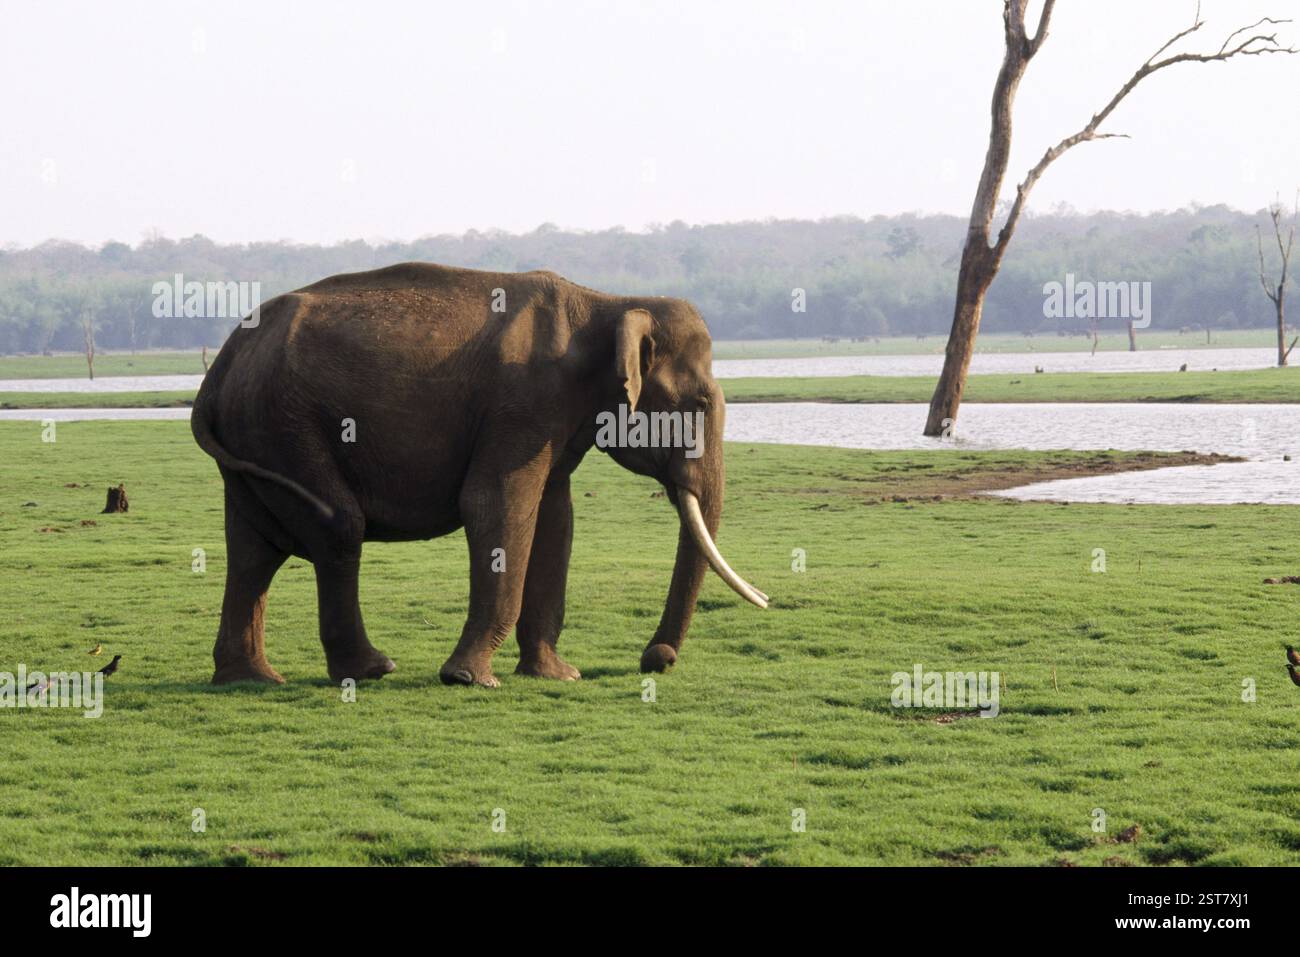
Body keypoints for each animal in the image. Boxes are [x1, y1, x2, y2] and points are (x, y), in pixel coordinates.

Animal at [190, 262, 767, 687]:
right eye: (697, 404)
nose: (656, 658)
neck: (606, 302)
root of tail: (221, 365)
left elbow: (555, 519)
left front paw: (556, 676)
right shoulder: (524, 403)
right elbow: (497, 505)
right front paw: (469, 680)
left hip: (258, 433)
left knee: (254, 551)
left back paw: (251, 680)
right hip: (286, 426)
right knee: (338, 527)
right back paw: (372, 670)